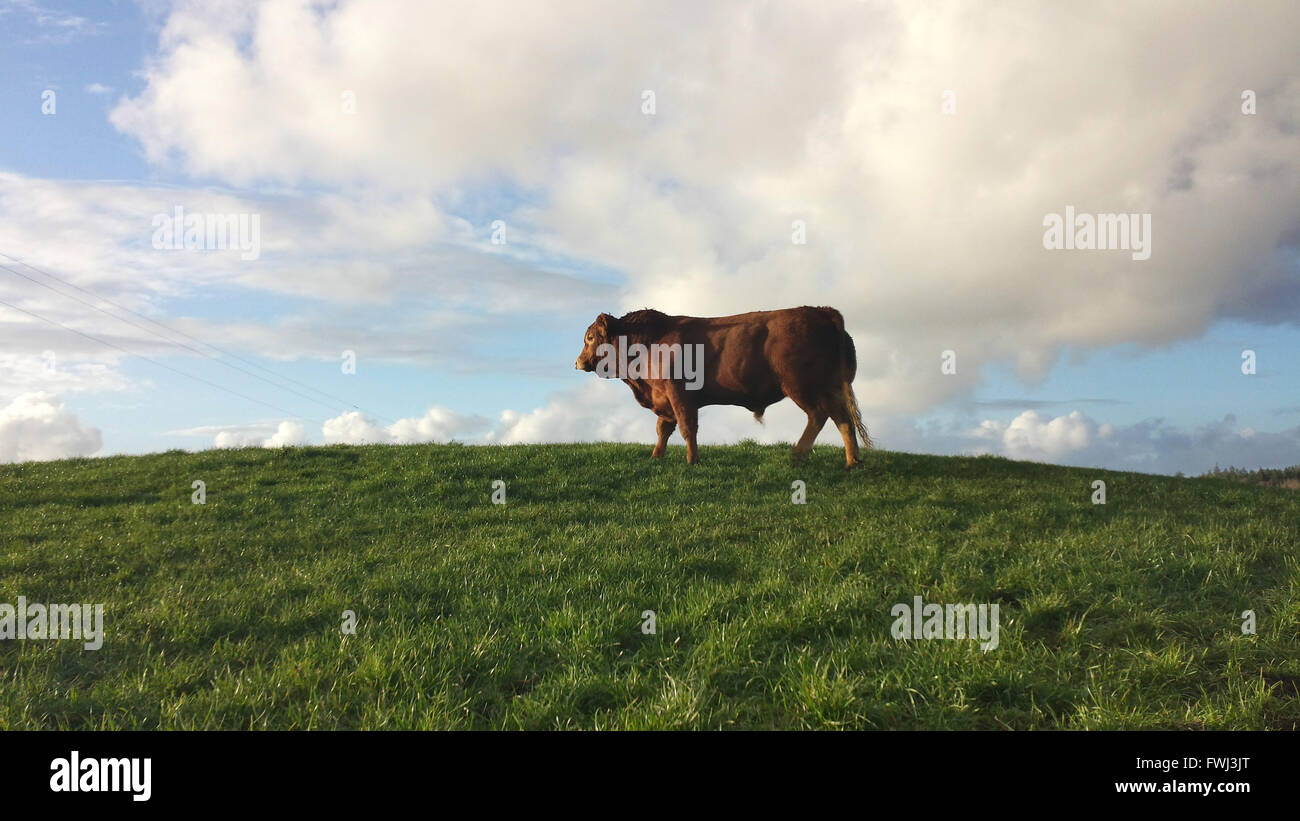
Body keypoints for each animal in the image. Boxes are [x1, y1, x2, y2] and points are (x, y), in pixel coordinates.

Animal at [574, 306, 872, 467]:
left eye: (589, 338)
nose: (577, 362)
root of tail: (821, 311)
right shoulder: (664, 399)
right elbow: (663, 430)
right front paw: (656, 456)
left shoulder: (680, 395)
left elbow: (687, 428)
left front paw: (692, 460)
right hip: (830, 387)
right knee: (842, 419)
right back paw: (852, 462)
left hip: (802, 386)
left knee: (819, 415)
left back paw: (798, 455)